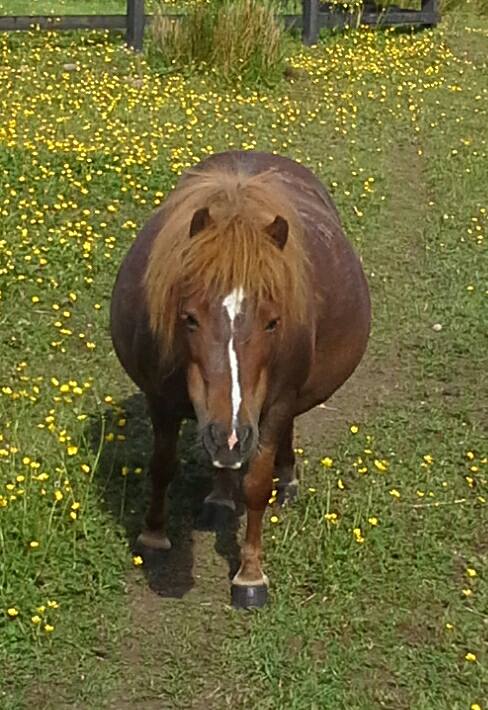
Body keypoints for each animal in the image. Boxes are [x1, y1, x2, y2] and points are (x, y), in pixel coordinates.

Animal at [110, 150, 371, 608]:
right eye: (189, 318)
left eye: (273, 322)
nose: (229, 434)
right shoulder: (161, 398)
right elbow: (162, 465)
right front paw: (154, 537)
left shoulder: (273, 404)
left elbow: (256, 484)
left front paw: (250, 575)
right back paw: (219, 497)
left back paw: (286, 479)